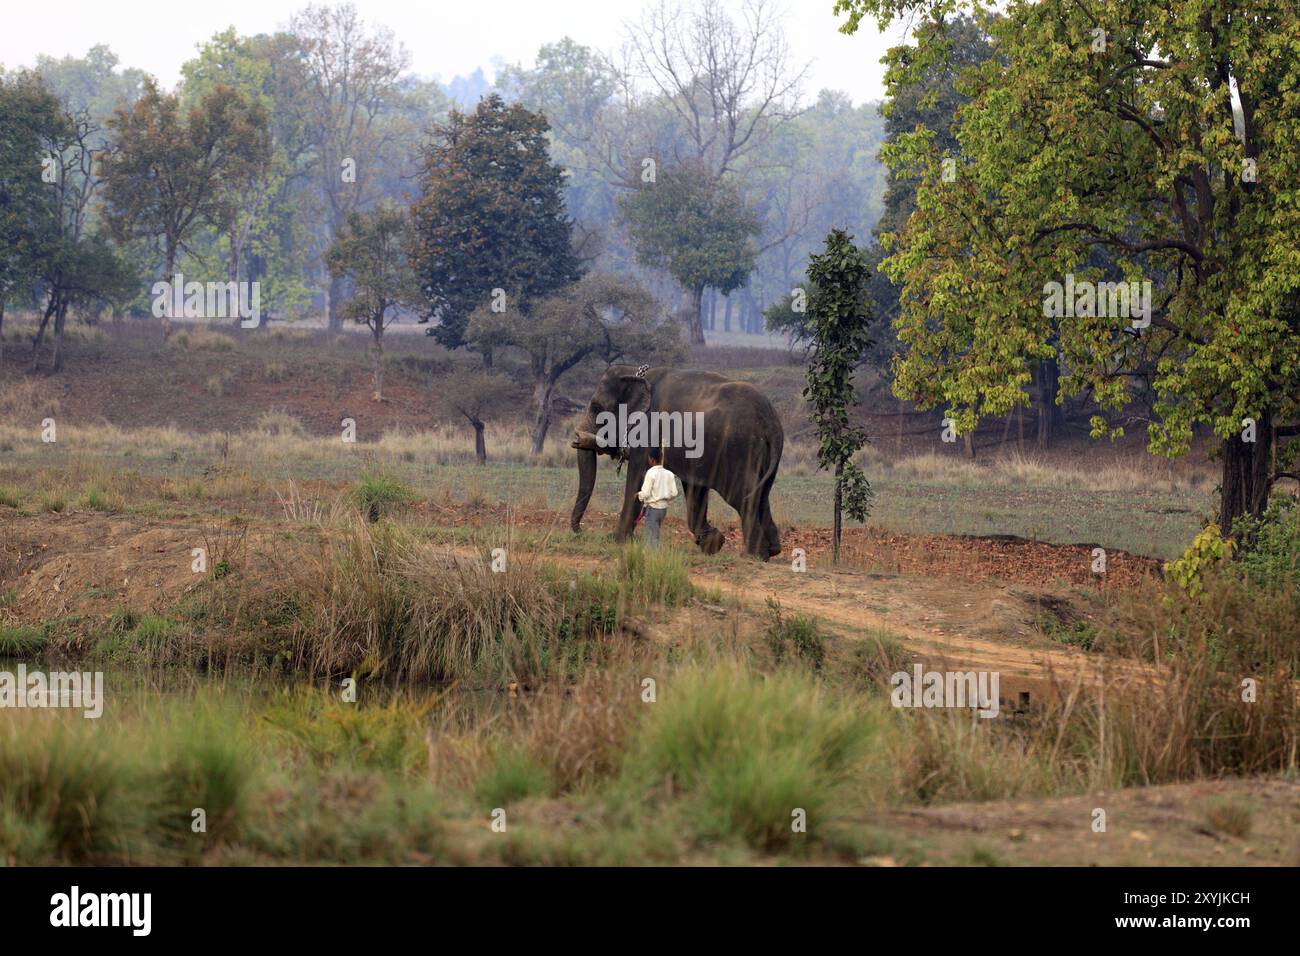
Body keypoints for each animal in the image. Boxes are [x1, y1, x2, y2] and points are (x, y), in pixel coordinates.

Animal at [569, 365, 783, 560]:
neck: (633, 372)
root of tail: (771, 421)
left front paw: (617, 540)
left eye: (597, 408)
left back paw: (754, 556)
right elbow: (695, 490)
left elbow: (638, 478)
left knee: (744, 497)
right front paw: (714, 542)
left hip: (738, 450)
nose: (581, 531)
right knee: (761, 495)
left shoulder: (647, 432)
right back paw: (772, 550)